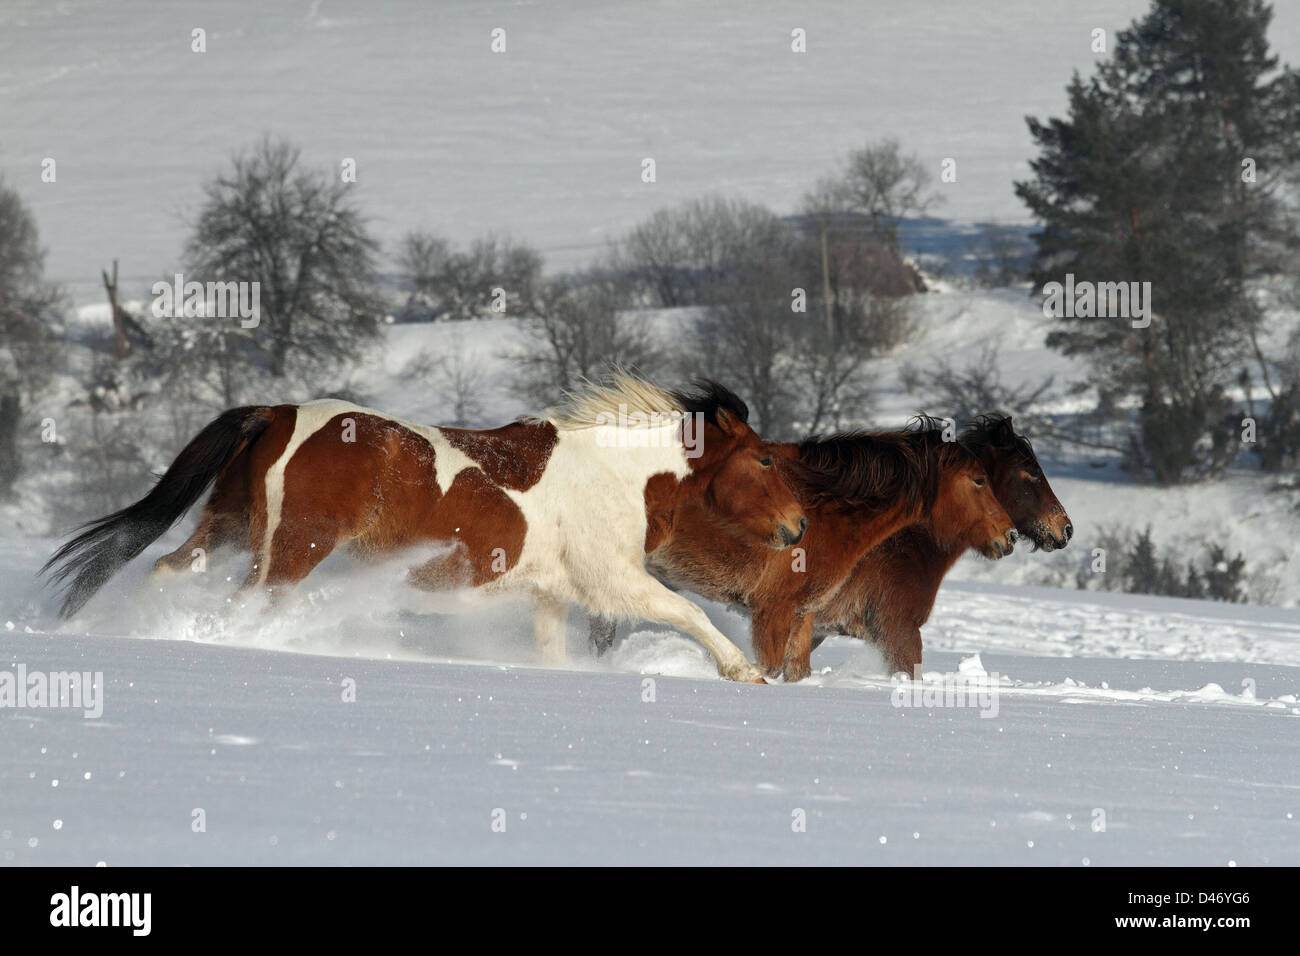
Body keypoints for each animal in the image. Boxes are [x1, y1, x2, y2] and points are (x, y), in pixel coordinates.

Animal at [42, 376, 807, 682]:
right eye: (766, 459)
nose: (799, 528)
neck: (613, 471)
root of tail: (277, 413)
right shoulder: (613, 581)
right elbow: (687, 612)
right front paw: (743, 671)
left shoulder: (552, 595)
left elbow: (554, 652)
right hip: (292, 550)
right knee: (243, 606)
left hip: (229, 528)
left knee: (165, 569)